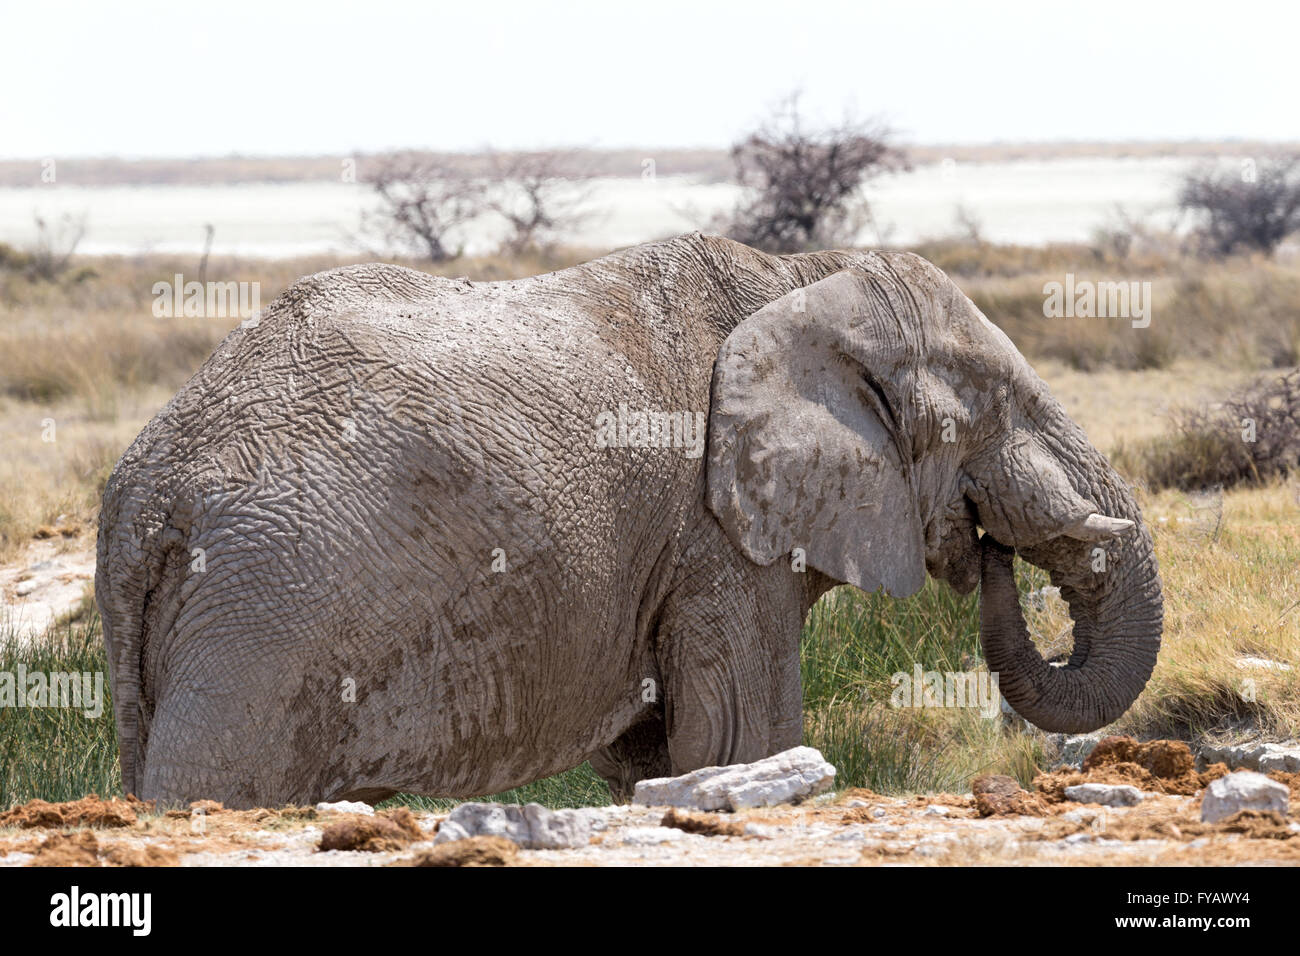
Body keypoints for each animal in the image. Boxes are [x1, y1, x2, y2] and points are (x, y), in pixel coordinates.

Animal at [96, 232, 1162, 808]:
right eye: (995, 403)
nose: (986, 548)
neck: (800, 278)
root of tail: (144, 499)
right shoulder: (715, 534)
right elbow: (740, 741)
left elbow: (656, 759)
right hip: (257, 622)